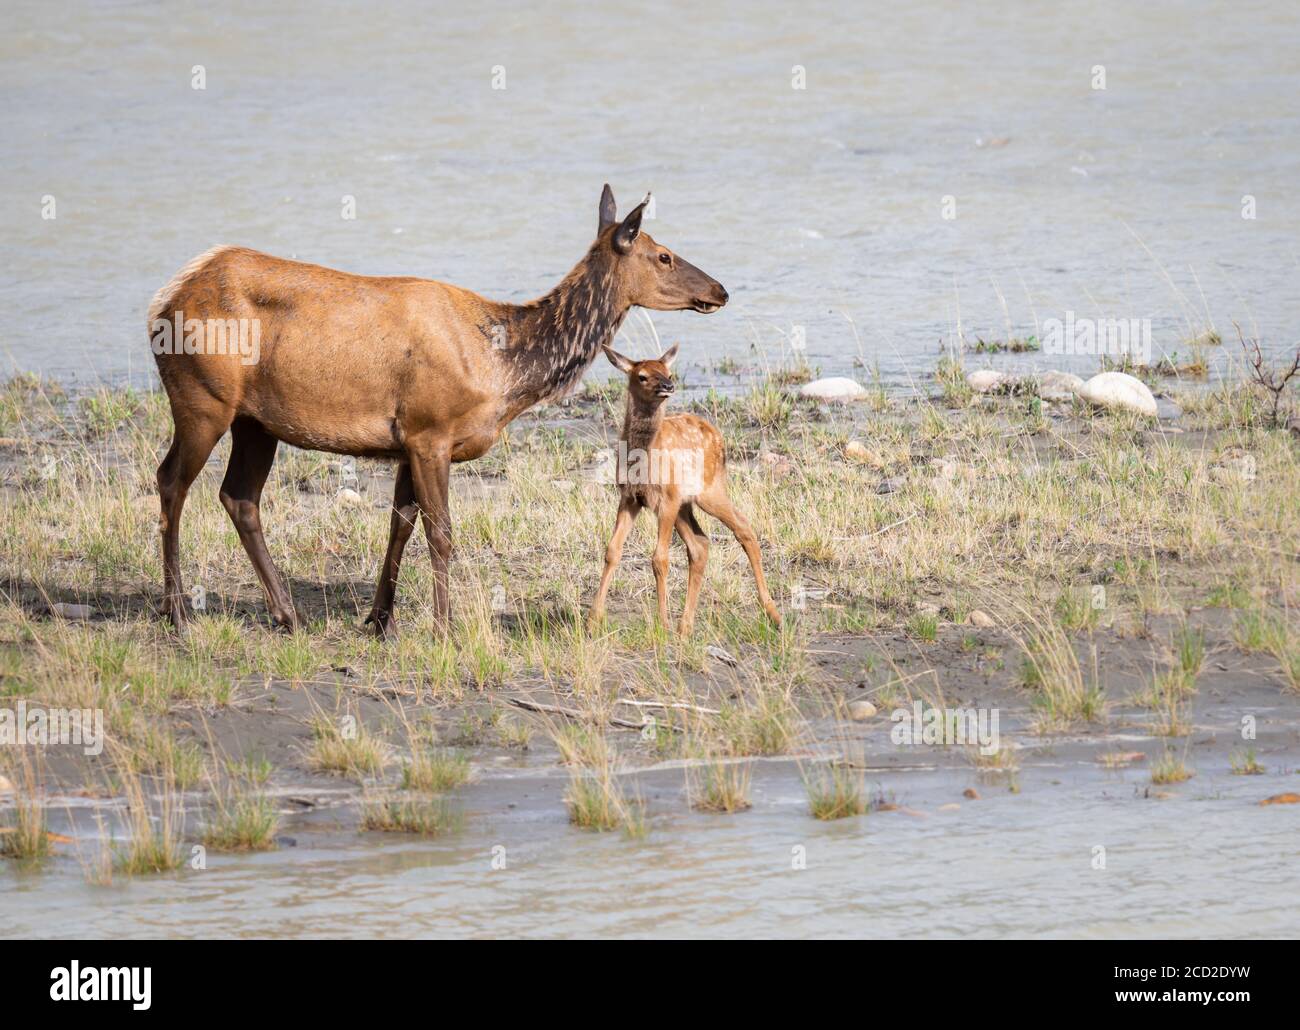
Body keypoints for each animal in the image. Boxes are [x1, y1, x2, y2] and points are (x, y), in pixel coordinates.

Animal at [147, 185, 728, 636]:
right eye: (664, 255)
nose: (720, 289)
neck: (501, 370)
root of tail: (162, 301)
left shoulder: (408, 438)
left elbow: (400, 525)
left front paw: (380, 619)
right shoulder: (431, 431)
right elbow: (441, 532)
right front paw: (442, 627)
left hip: (255, 420)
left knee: (239, 496)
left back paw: (287, 614)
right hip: (202, 398)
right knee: (171, 480)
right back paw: (178, 612)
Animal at [589, 344, 782, 637]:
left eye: (668, 372)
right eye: (642, 376)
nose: (669, 385)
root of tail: (719, 437)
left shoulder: (666, 498)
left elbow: (659, 559)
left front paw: (662, 623)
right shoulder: (630, 497)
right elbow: (612, 551)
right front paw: (593, 619)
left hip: (710, 490)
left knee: (743, 528)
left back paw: (773, 614)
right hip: (685, 504)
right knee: (700, 544)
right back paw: (686, 625)